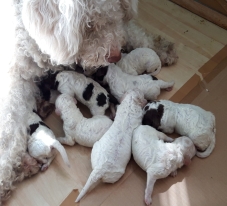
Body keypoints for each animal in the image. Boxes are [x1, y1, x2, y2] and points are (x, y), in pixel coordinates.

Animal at [0, 0, 177, 203]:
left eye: (116, 14)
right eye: (88, 25)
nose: (115, 56)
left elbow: (136, 34)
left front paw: (162, 48)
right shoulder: (14, 79)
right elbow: (7, 135)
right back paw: (26, 164)